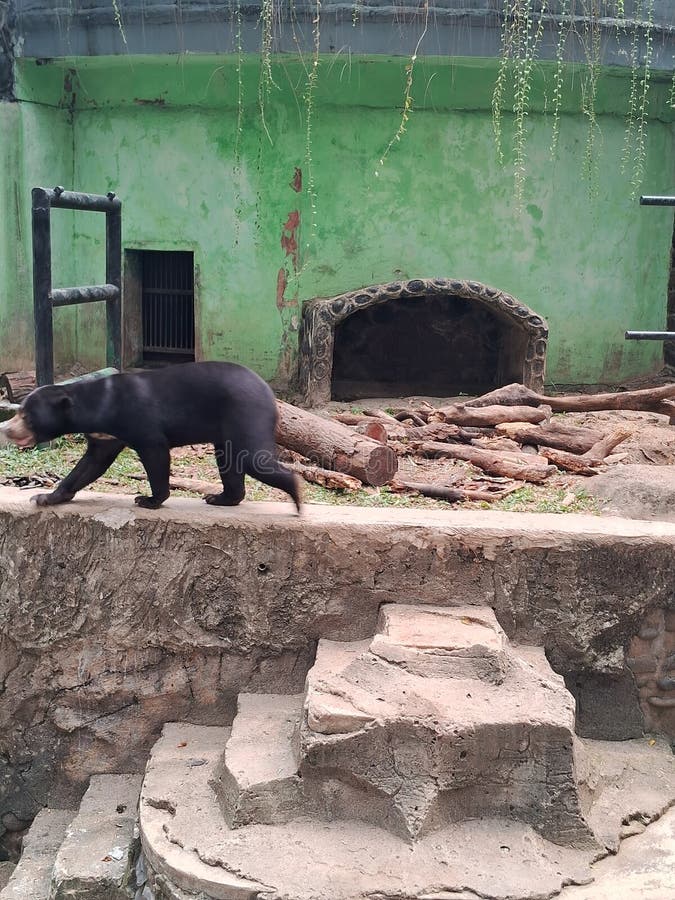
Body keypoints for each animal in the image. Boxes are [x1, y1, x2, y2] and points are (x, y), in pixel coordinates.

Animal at [2, 362, 302, 512]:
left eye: (26, 415)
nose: (5, 428)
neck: (99, 405)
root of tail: (269, 393)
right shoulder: (106, 437)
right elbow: (90, 465)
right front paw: (44, 497)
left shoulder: (137, 419)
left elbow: (155, 452)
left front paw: (148, 500)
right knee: (229, 462)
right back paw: (220, 498)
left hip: (245, 413)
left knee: (254, 459)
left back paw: (297, 499)